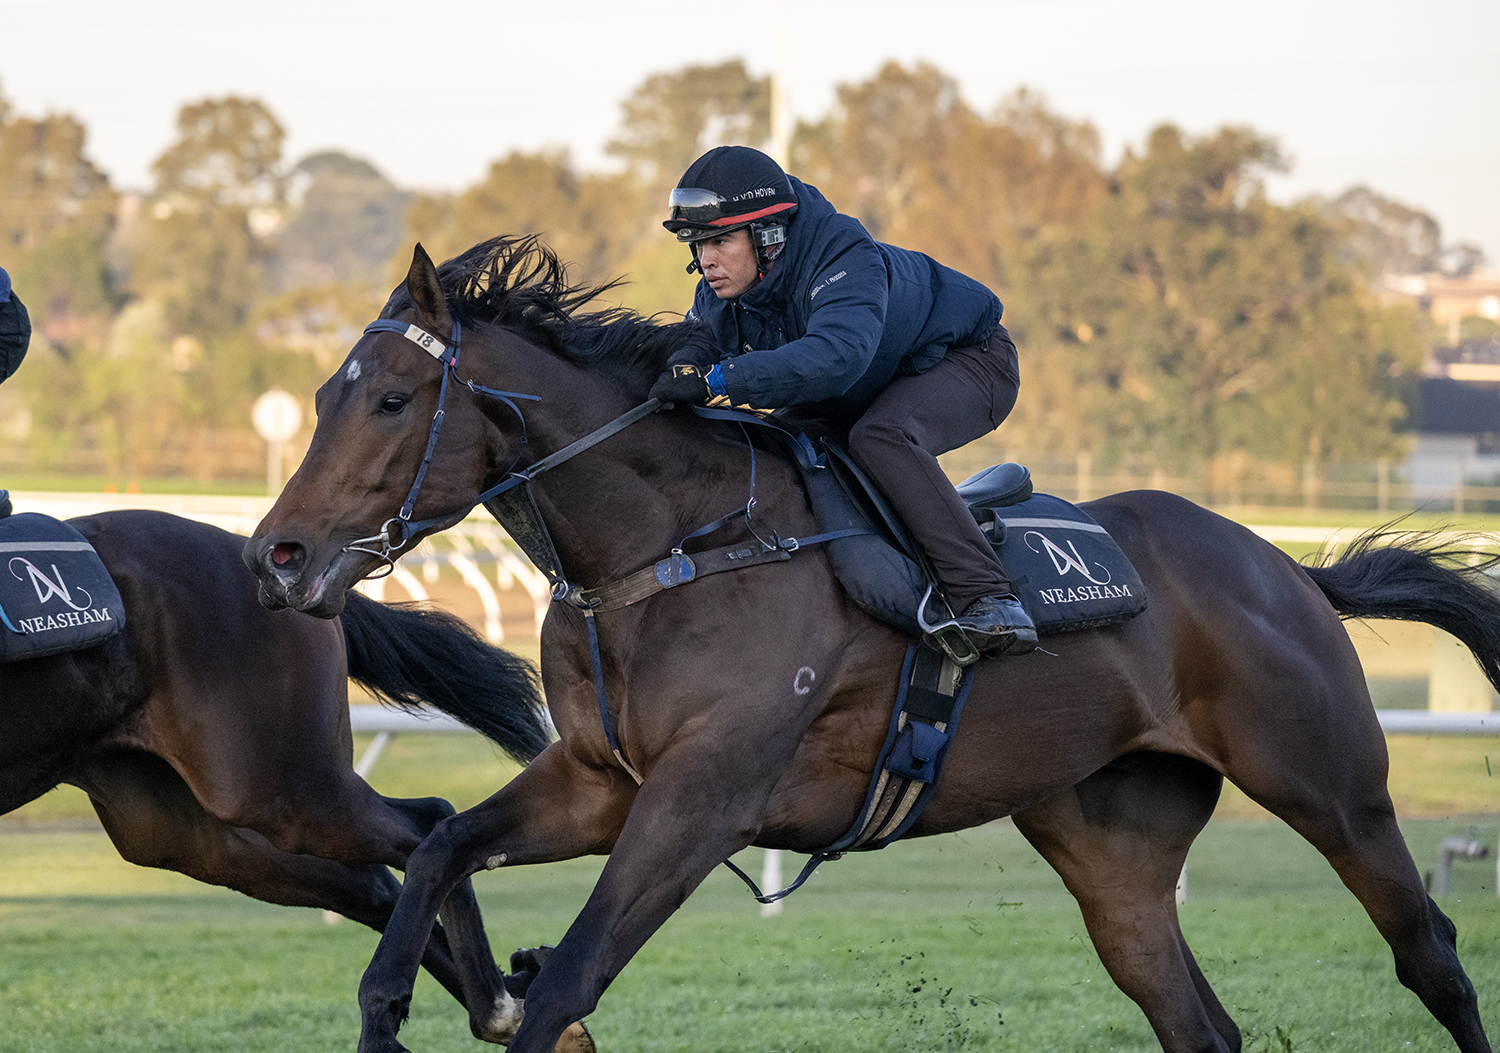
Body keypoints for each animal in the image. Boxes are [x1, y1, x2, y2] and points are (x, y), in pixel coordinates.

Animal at [0, 507, 592, 1049]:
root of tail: (284, 572)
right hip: (183, 825)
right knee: (374, 884)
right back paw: (520, 1007)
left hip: (277, 788)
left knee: (428, 824)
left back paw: (498, 1008)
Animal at [245, 235, 1497, 1053]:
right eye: (321, 394)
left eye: (393, 400)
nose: (277, 557)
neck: (669, 550)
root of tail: (1286, 568)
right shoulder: (600, 779)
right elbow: (438, 855)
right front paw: (403, 999)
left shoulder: (704, 799)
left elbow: (569, 985)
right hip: (1111, 837)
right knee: (1193, 1016)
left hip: (1331, 785)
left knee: (1428, 950)